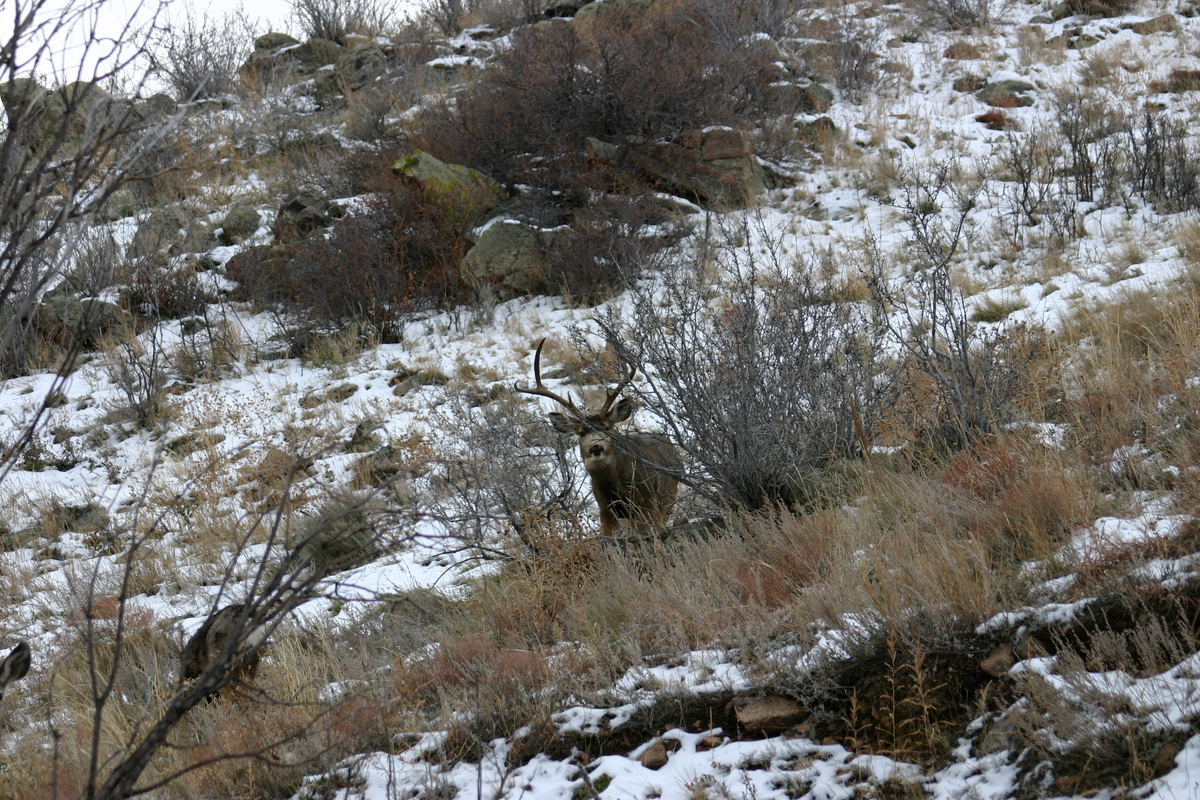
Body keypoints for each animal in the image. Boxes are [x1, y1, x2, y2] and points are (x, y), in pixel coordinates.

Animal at [517, 339, 680, 543]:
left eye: (606, 427)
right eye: (581, 432)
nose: (596, 447)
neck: (615, 487)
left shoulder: (647, 501)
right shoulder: (605, 508)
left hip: (666, 499)